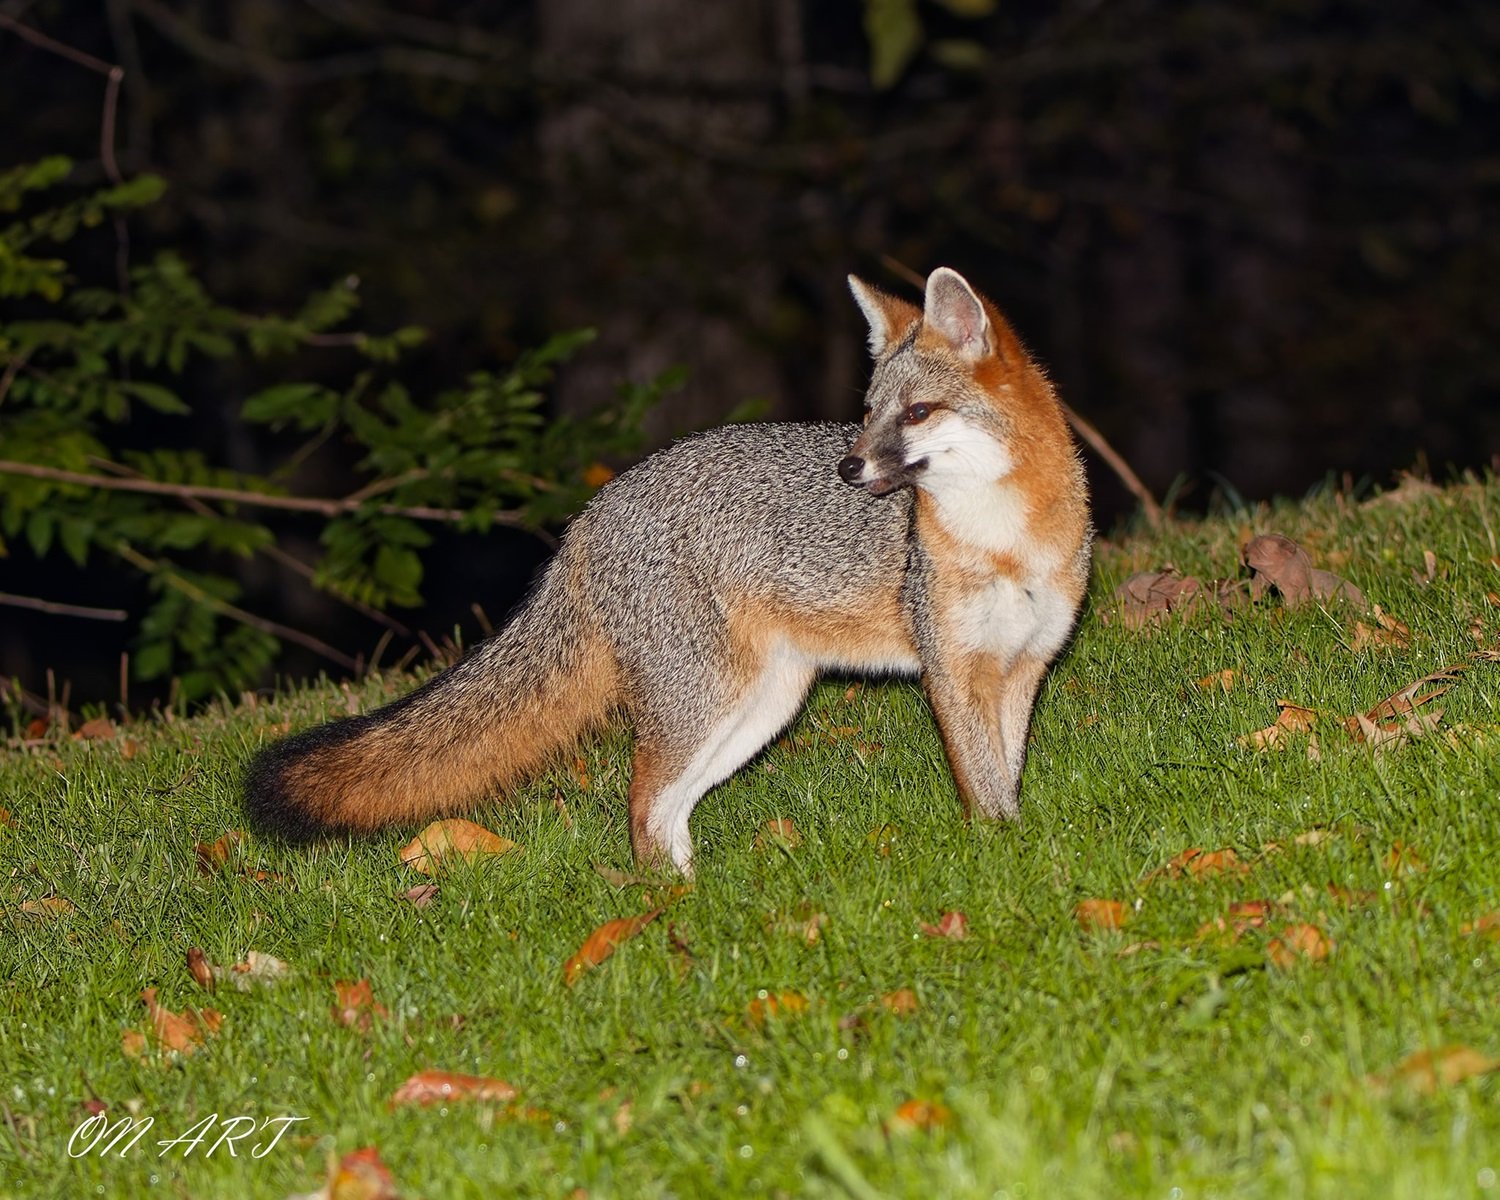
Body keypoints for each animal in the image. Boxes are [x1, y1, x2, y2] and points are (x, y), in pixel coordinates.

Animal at [245, 267, 1092, 874]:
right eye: (867, 413)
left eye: (915, 414)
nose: (849, 469)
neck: (1007, 540)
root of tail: (588, 517)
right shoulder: (951, 670)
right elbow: (983, 783)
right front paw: (1001, 856)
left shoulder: (1020, 667)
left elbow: (1006, 772)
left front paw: (1015, 845)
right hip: (710, 702)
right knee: (642, 801)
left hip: (758, 706)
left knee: (665, 810)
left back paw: (694, 901)